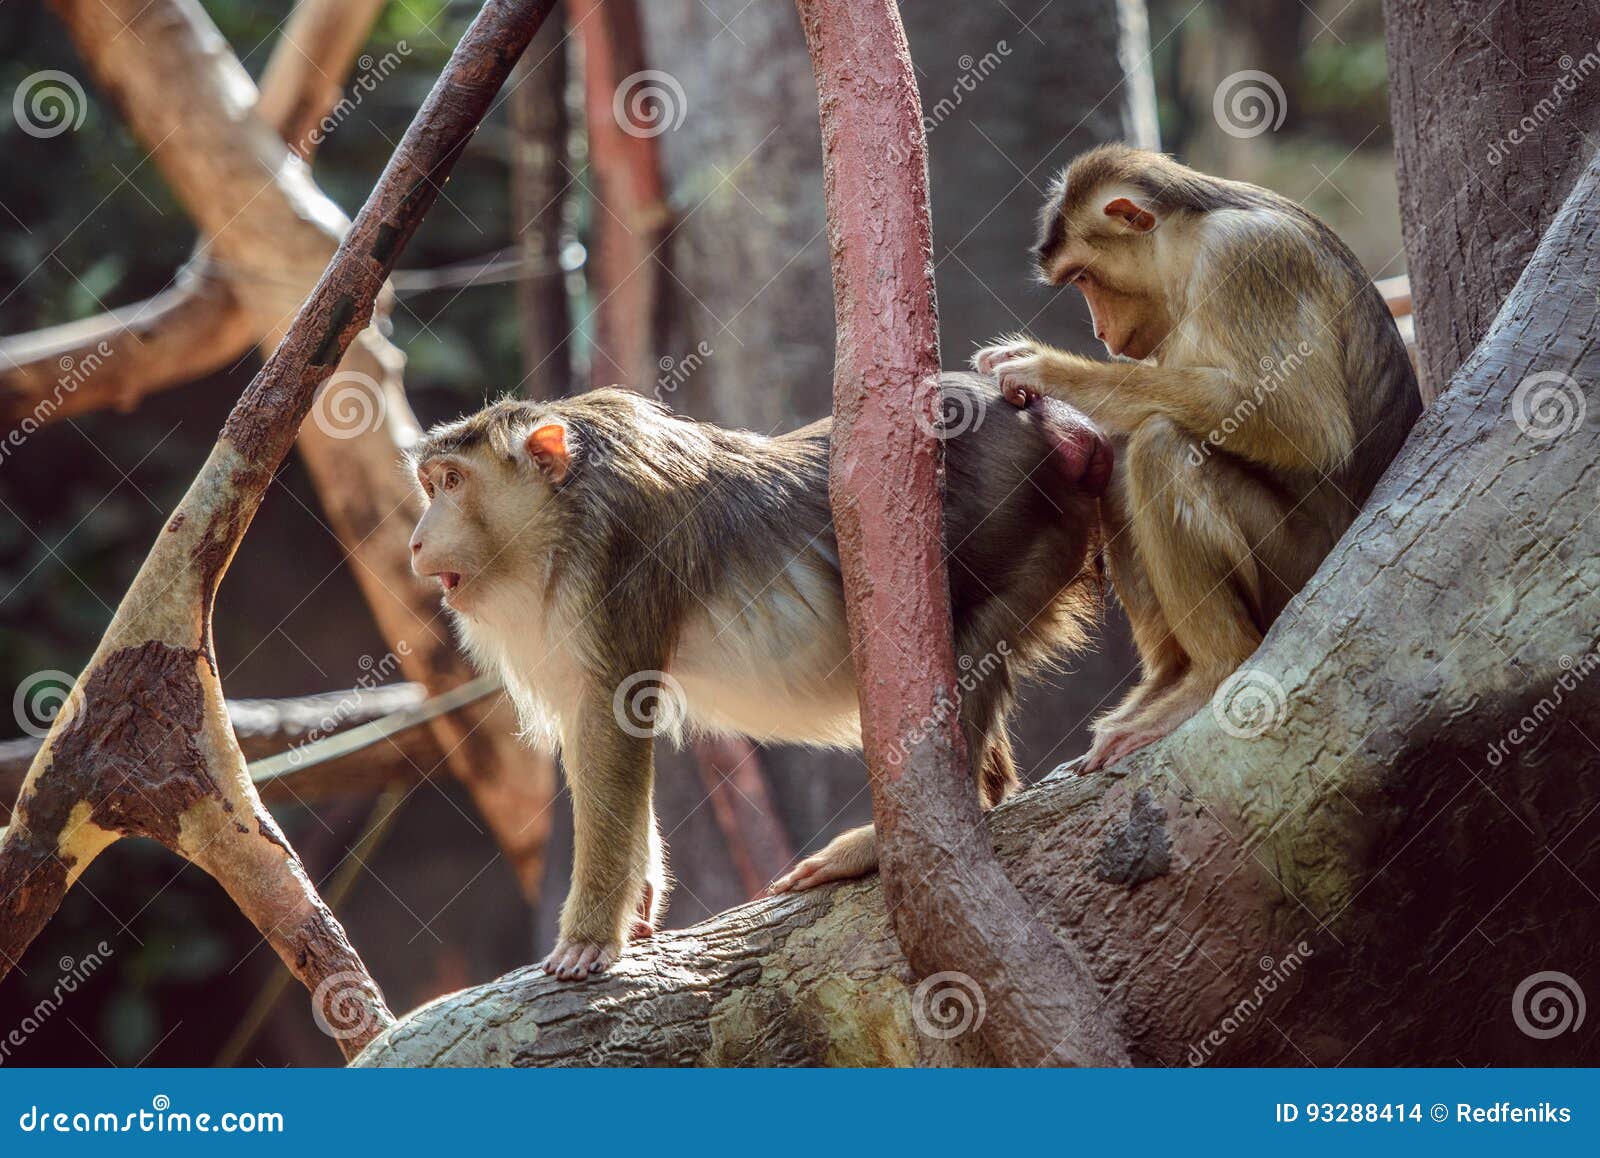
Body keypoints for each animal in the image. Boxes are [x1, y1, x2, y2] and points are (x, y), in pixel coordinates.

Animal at [408, 375, 1110, 979]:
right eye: (431, 486)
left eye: (453, 481)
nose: (416, 540)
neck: (565, 508)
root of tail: (1052, 421)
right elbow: (590, 729)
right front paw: (640, 895)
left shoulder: (614, 552)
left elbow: (613, 716)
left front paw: (590, 934)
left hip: (1018, 519)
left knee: (970, 647)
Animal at [973, 144, 1419, 772]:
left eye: (1084, 277)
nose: (1099, 330)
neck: (1186, 243)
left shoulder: (1245, 259)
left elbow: (1306, 426)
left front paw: (1049, 370)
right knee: (1125, 457)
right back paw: (1167, 677)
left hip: (1295, 569)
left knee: (1159, 444)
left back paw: (1213, 673)